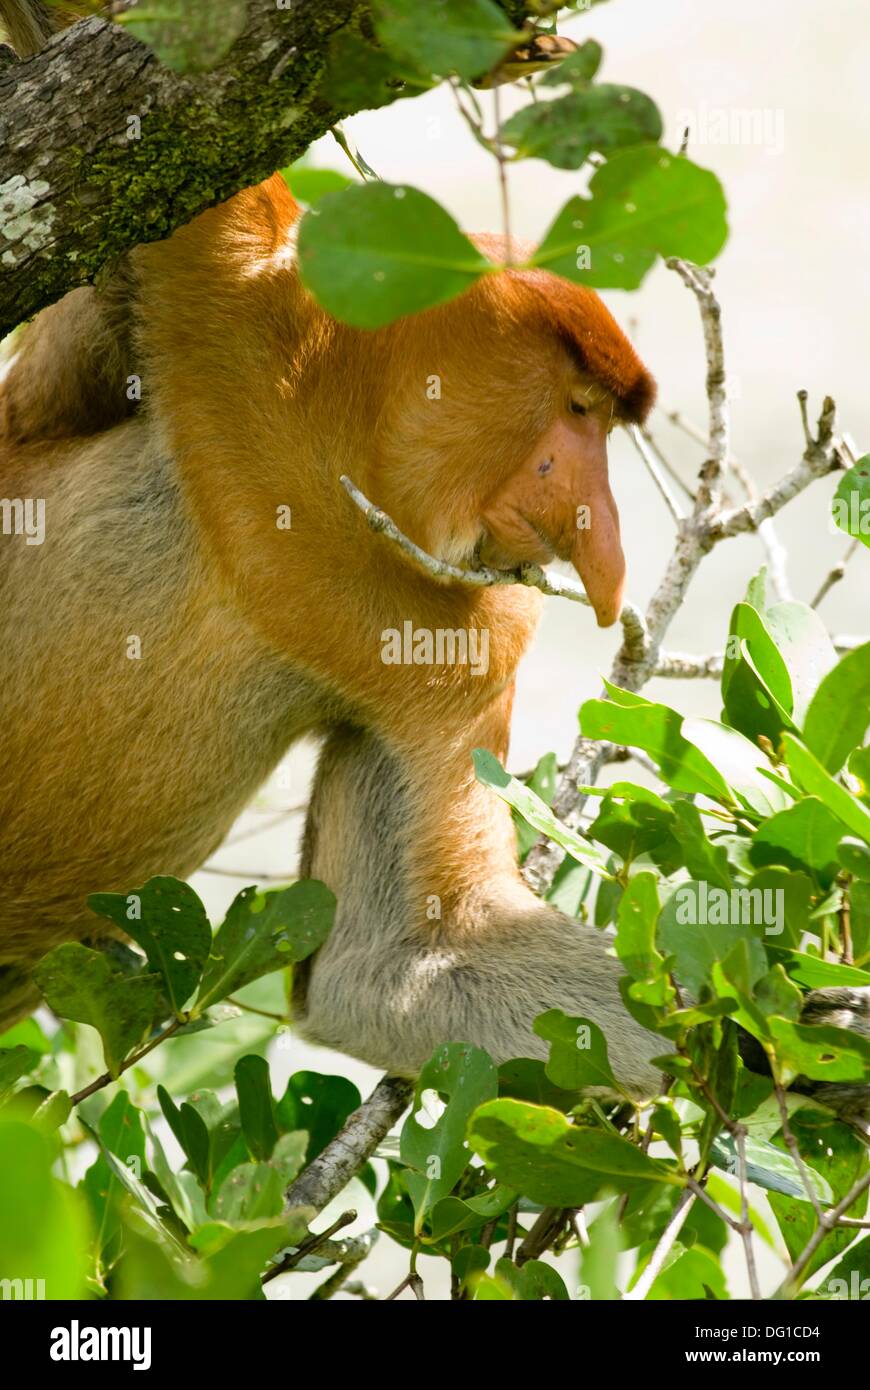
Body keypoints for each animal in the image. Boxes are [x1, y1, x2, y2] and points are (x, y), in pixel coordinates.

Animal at [1, 2, 867, 1115]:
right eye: (579, 409)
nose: (600, 526)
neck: (333, 466)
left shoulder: (468, 646)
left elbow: (400, 965)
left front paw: (815, 1027)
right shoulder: (228, 278)